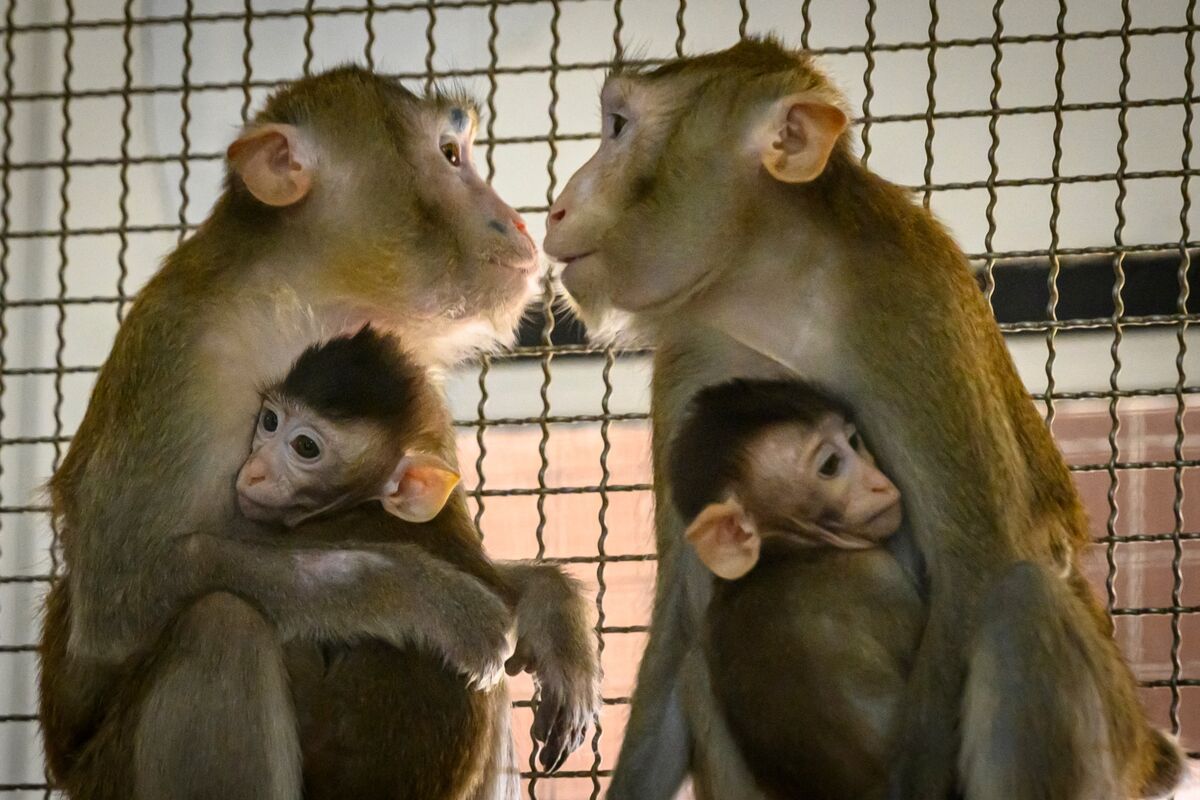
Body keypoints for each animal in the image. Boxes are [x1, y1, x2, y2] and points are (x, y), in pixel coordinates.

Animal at [38, 66, 597, 800]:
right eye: (451, 155)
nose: (518, 221)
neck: (300, 302)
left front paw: (551, 610)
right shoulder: (182, 355)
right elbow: (117, 594)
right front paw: (422, 594)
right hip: (107, 775)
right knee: (222, 626)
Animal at [543, 38, 1184, 800]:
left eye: (617, 128)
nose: (556, 208)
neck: (774, 289)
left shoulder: (910, 304)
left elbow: (976, 567)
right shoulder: (692, 357)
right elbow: (680, 622)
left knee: (1021, 600)